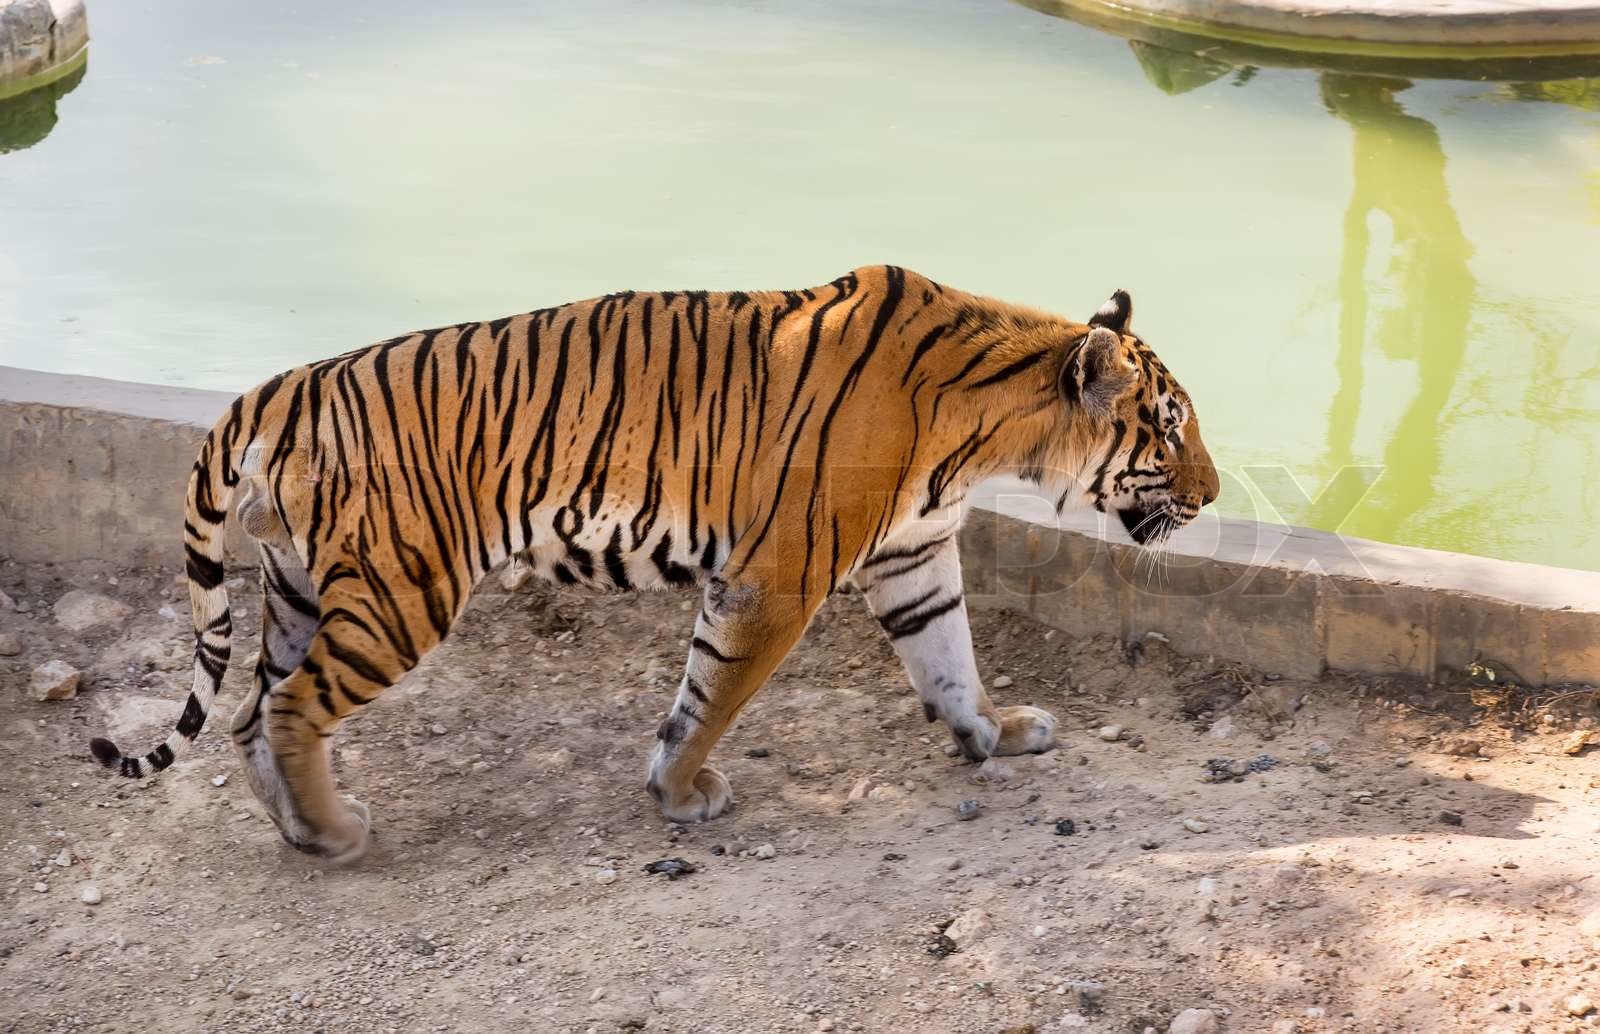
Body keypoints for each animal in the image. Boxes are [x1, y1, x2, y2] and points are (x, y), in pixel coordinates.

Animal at [88, 264, 1218, 863]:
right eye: (1168, 429)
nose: (1212, 495)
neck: (988, 430)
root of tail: (279, 385)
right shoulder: (781, 573)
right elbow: (712, 694)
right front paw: (680, 790)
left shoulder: (914, 555)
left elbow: (950, 658)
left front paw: (996, 731)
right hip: (403, 594)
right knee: (288, 707)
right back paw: (333, 832)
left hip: (296, 588)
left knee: (248, 710)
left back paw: (299, 826)